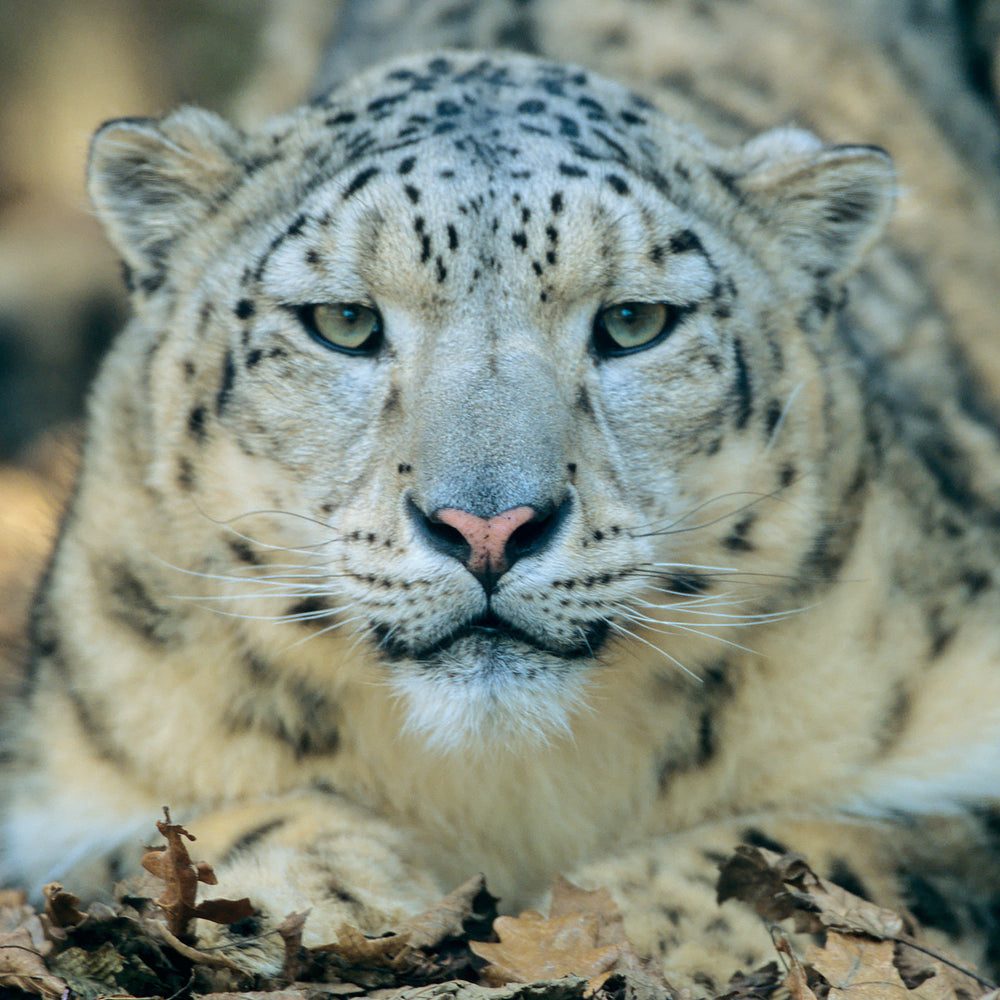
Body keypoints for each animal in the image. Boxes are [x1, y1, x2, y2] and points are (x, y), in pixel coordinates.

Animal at [4, 0, 1000, 993]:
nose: (488, 528)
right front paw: (326, 893)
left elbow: (867, 847)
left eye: (635, 321)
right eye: (344, 321)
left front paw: (629, 921)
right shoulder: (64, 787)